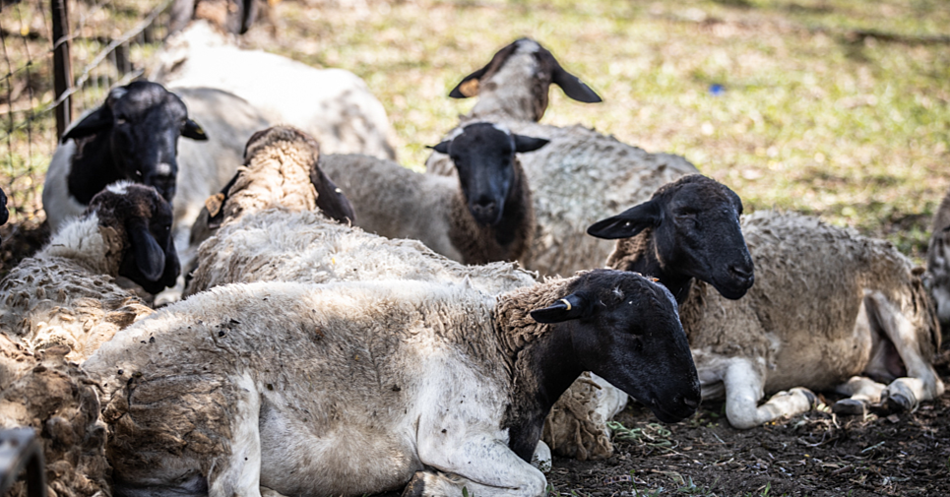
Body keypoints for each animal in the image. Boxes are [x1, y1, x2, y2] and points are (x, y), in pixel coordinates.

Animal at [85, 270, 701, 497]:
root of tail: (97, 376)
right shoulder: (453, 436)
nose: (691, 398)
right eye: (633, 331)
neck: (498, 341)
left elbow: (543, 464)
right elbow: (533, 482)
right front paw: (436, 483)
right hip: (222, 410)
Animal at [588, 174, 945, 429]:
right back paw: (860, 398)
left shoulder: (749, 354)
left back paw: (899, 394)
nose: (743, 273)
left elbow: (740, 413)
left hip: (903, 309)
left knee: (930, 379)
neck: (696, 316)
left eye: (739, 213)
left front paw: (796, 399)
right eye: (683, 212)